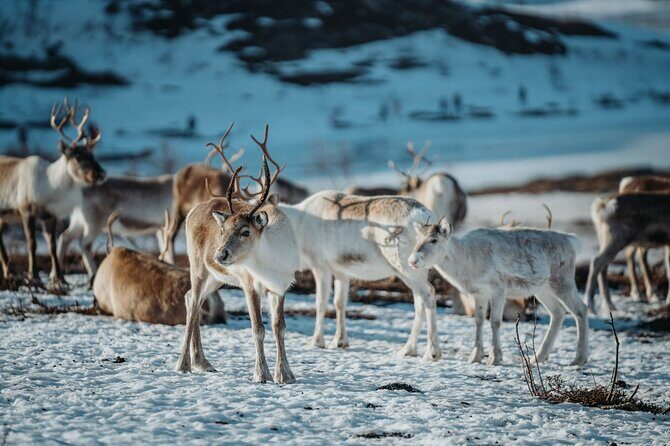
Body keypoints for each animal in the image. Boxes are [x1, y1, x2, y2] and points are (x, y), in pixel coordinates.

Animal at [0, 98, 106, 292]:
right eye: (78, 157)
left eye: (93, 154)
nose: (101, 174)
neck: (50, 187)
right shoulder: (26, 211)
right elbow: (32, 244)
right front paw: (33, 276)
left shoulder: (50, 216)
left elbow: (52, 245)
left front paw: (60, 278)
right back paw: (10, 272)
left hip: (4, 217)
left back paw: (8, 271)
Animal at [175, 125, 300, 384]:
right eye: (223, 230)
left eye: (245, 231)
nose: (220, 255)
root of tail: (192, 211)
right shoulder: (250, 284)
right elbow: (258, 329)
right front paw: (261, 374)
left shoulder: (280, 287)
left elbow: (279, 327)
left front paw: (285, 374)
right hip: (198, 267)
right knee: (193, 304)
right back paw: (183, 364)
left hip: (217, 278)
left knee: (192, 299)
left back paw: (202, 362)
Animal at [408, 218, 588, 366]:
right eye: (417, 239)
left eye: (434, 240)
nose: (413, 260)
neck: (466, 261)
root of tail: (572, 240)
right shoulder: (479, 293)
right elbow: (479, 320)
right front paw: (475, 357)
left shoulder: (498, 290)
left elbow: (495, 322)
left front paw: (495, 358)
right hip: (543, 288)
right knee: (558, 312)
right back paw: (538, 357)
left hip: (562, 281)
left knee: (580, 309)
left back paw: (579, 359)